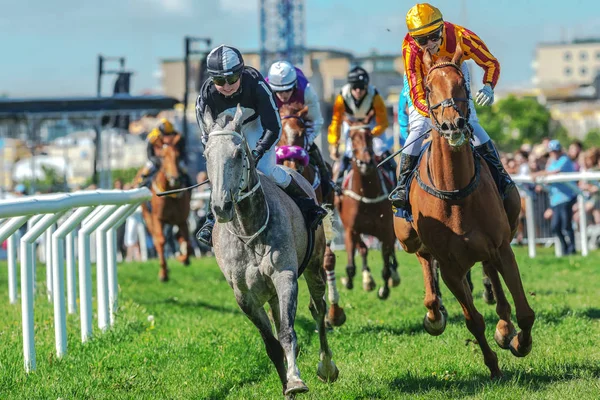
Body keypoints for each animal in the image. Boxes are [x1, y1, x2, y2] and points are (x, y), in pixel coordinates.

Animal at [139, 134, 191, 282]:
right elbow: (161, 241)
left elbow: (187, 241)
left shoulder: (181, 219)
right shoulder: (158, 219)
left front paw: (183, 259)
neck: (170, 194)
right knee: (157, 240)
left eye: (178, 156)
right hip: (148, 218)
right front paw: (163, 273)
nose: (175, 179)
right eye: (163, 156)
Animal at [336, 117, 400, 298]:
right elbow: (352, 264)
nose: (365, 163)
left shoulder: (386, 230)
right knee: (363, 249)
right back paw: (367, 279)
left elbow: (386, 263)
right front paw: (351, 281)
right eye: (351, 137)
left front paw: (384, 289)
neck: (368, 195)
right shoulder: (351, 229)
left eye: (370, 136)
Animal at [394, 47, 536, 378]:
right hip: (406, 236)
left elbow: (524, 311)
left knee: (492, 276)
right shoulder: (450, 268)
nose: (453, 125)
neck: (455, 190)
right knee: (423, 257)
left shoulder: (502, 246)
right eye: (429, 87)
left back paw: (504, 327)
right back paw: (434, 314)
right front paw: (493, 366)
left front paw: (519, 342)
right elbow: (473, 320)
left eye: (462, 84)